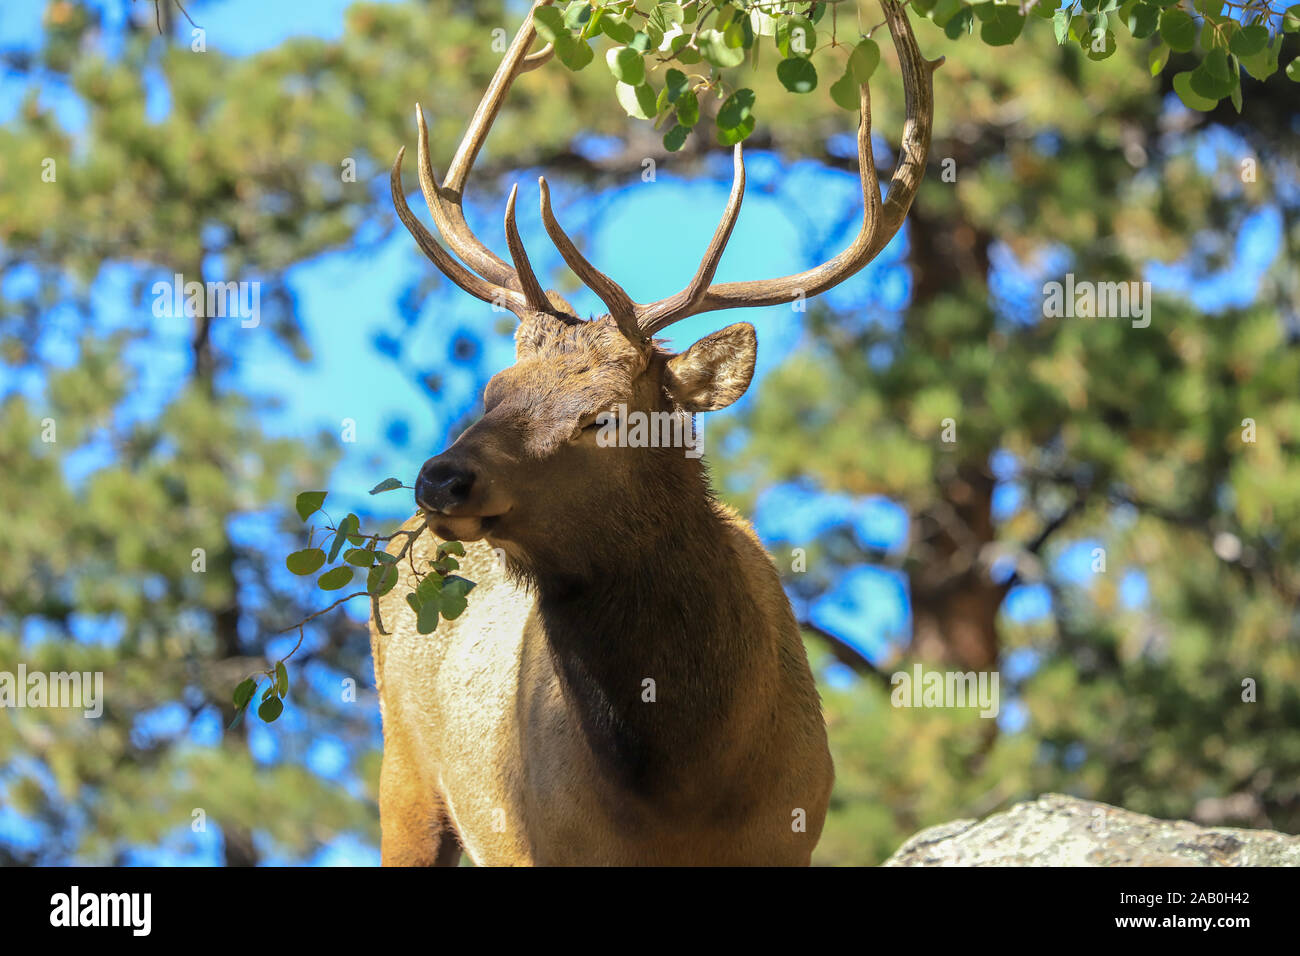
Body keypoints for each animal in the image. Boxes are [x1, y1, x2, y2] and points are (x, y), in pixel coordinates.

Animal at [370, 0, 938, 866]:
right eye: (494, 390)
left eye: (603, 415)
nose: (440, 478)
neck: (682, 792)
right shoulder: (549, 844)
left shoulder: (791, 833)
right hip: (402, 775)